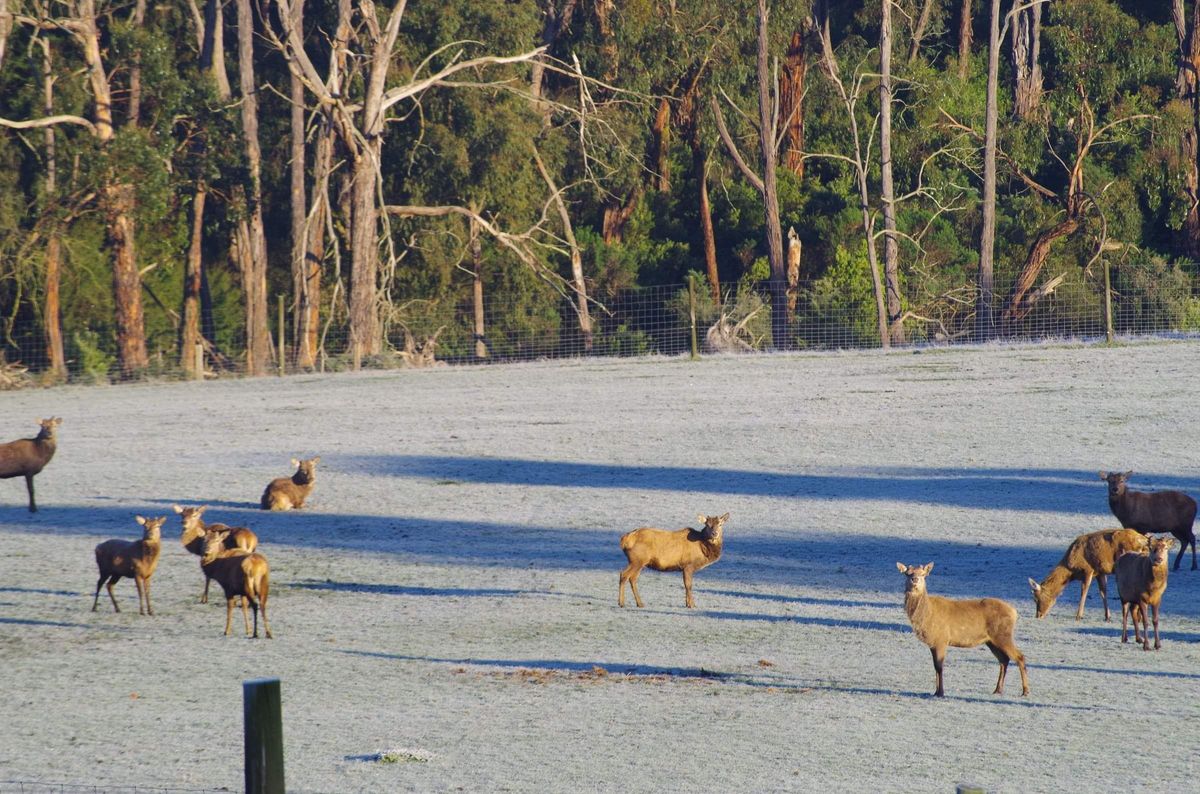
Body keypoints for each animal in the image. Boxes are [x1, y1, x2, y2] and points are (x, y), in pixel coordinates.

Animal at [896, 562, 1029, 698]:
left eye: (923, 574)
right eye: (907, 573)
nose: (915, 579)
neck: (926, 616)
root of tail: (1014, 612)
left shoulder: (942, 639)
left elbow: (939, 666)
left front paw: (941, 692)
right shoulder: (933, 644)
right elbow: (935, 666)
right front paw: (935, 692)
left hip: (1003, 635)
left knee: (1020, 657)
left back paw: (1025, 691)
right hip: (991, 641)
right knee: (1004, 660)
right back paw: (998, 689)